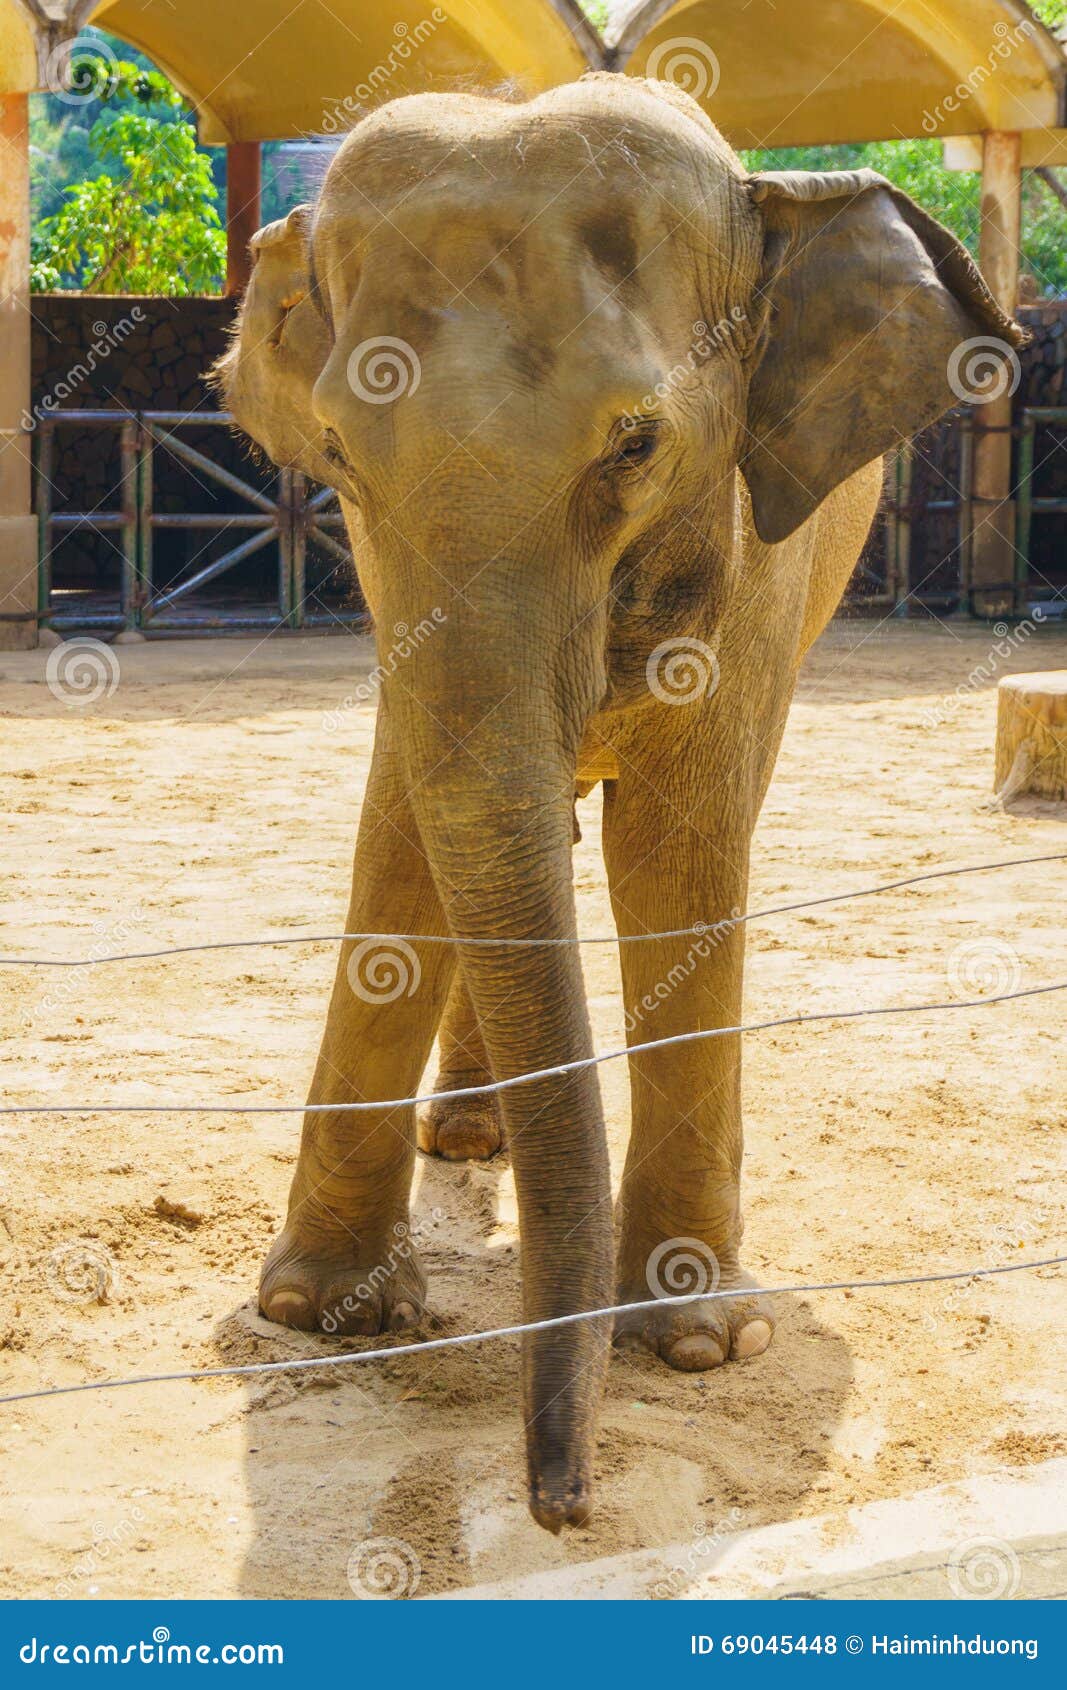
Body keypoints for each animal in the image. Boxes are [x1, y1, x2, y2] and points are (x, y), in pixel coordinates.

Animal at [215, 73, 1023, 1533]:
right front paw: (321, 1314)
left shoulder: (754, 543)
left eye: (638, 444)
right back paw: (468, 1133)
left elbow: (677, 851)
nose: (562, 1502)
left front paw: (700, 1340)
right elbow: (406, 829)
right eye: (336, 454)